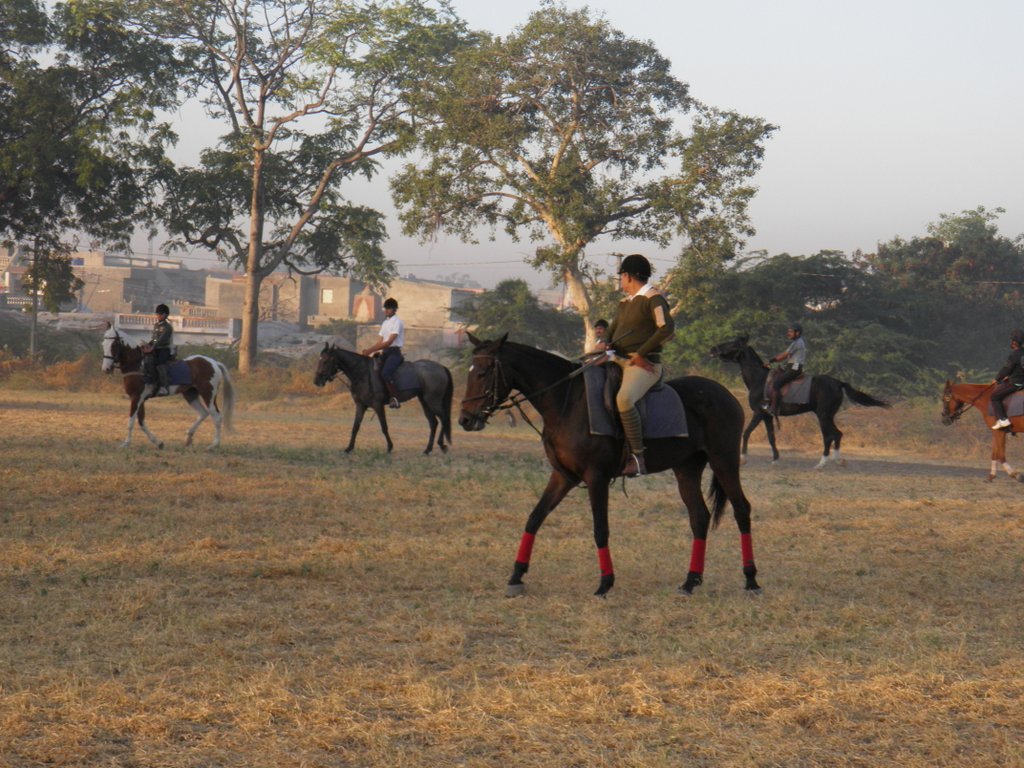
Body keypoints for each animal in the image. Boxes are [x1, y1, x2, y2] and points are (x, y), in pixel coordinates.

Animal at [101, 325, 235, 449]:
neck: (138, 364)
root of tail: (214, 363)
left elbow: (131, 421)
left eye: (113, 345)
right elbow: (141, 421)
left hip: (208, 395)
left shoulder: (136, 397)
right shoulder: (140, 399)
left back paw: (214, 445)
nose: (106, 369)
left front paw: (126, 443)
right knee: (203, 413)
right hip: (190, 394)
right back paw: (188, 437)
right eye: (103, 344)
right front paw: (158, 442)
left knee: (216, 417)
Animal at [313, 343, 453, 455]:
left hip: (433, 401)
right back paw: (428, 449)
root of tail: (441, 367)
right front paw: (349, 448)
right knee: (434, 422)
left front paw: (390, 447)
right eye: (319, 360)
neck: (362, 373)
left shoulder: (378, 405)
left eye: (325, 361)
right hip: (425, 402)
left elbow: (384, 427)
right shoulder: (361, 405)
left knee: (444, 418)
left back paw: (442, 445)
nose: (317, 381)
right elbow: (355, 427)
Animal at [459, 333, 760, 598]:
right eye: (471, 371)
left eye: (483, 372)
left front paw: (605, 583)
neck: (567, 402)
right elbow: (534, 518)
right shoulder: (563, 476)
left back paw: (751, 580)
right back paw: (690, 582)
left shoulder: (596, 477)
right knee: (699, 517)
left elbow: (600, 529)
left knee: (742, 509)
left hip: (724, 461)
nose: (464, 419)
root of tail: (726, 394)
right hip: (686, 468)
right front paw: (516, 577)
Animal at [709, 335, 890, 468]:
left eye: (732, 344)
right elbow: (771, 437)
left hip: (823, 415)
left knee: (829, 436)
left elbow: (746, 433)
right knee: (837, 434)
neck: (759, 380)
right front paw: (775, 459)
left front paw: (743, 458)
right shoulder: (767, 415)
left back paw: (822, 463)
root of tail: (838, 383)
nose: (712, 349)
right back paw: (838, 460)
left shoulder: (759, 413)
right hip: (827, 415)